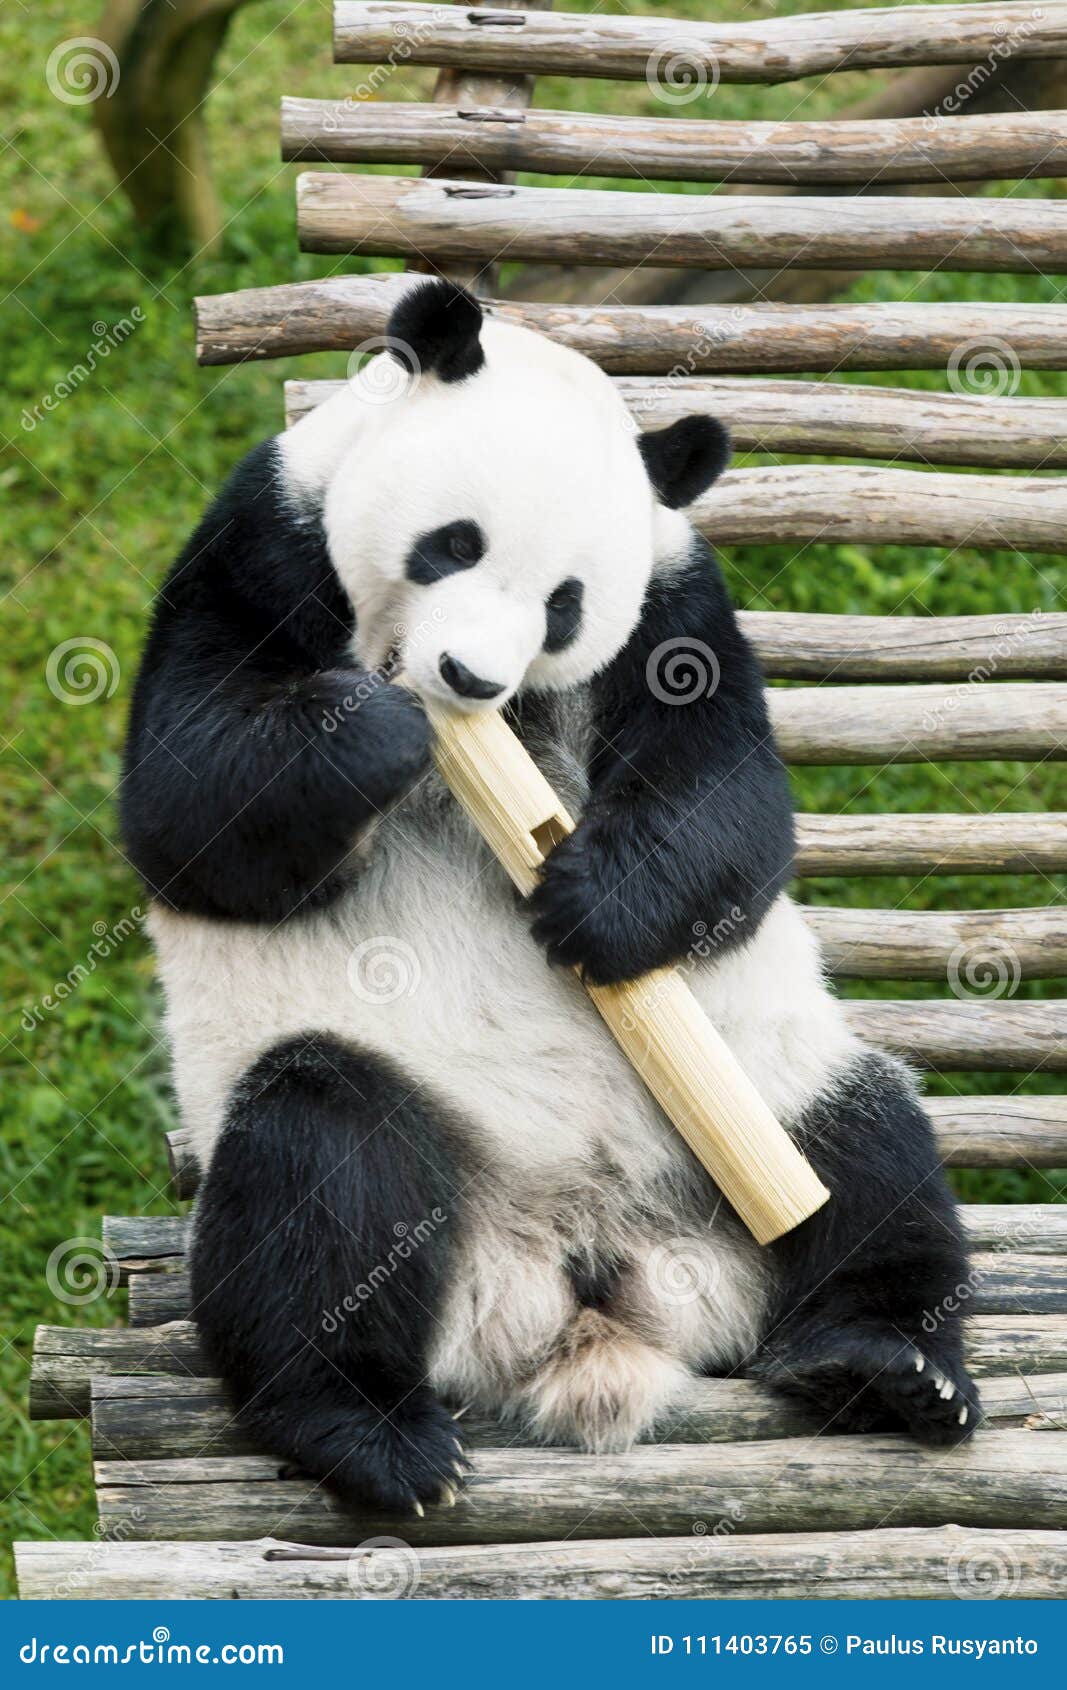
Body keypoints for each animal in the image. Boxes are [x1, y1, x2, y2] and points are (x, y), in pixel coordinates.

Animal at [121, 279, 980, 1514]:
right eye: (453, 544)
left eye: (564, 604)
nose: (468, 678)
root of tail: (583, 1283)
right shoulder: (261, 542)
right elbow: (185, 805)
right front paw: (377, 730)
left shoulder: (675, 598)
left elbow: (733, 804)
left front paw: (591, 905)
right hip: (400, 1131)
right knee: (317, 1166)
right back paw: (369, 1431)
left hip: (752, 1094)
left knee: (864, 1152)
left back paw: (890, 1365)